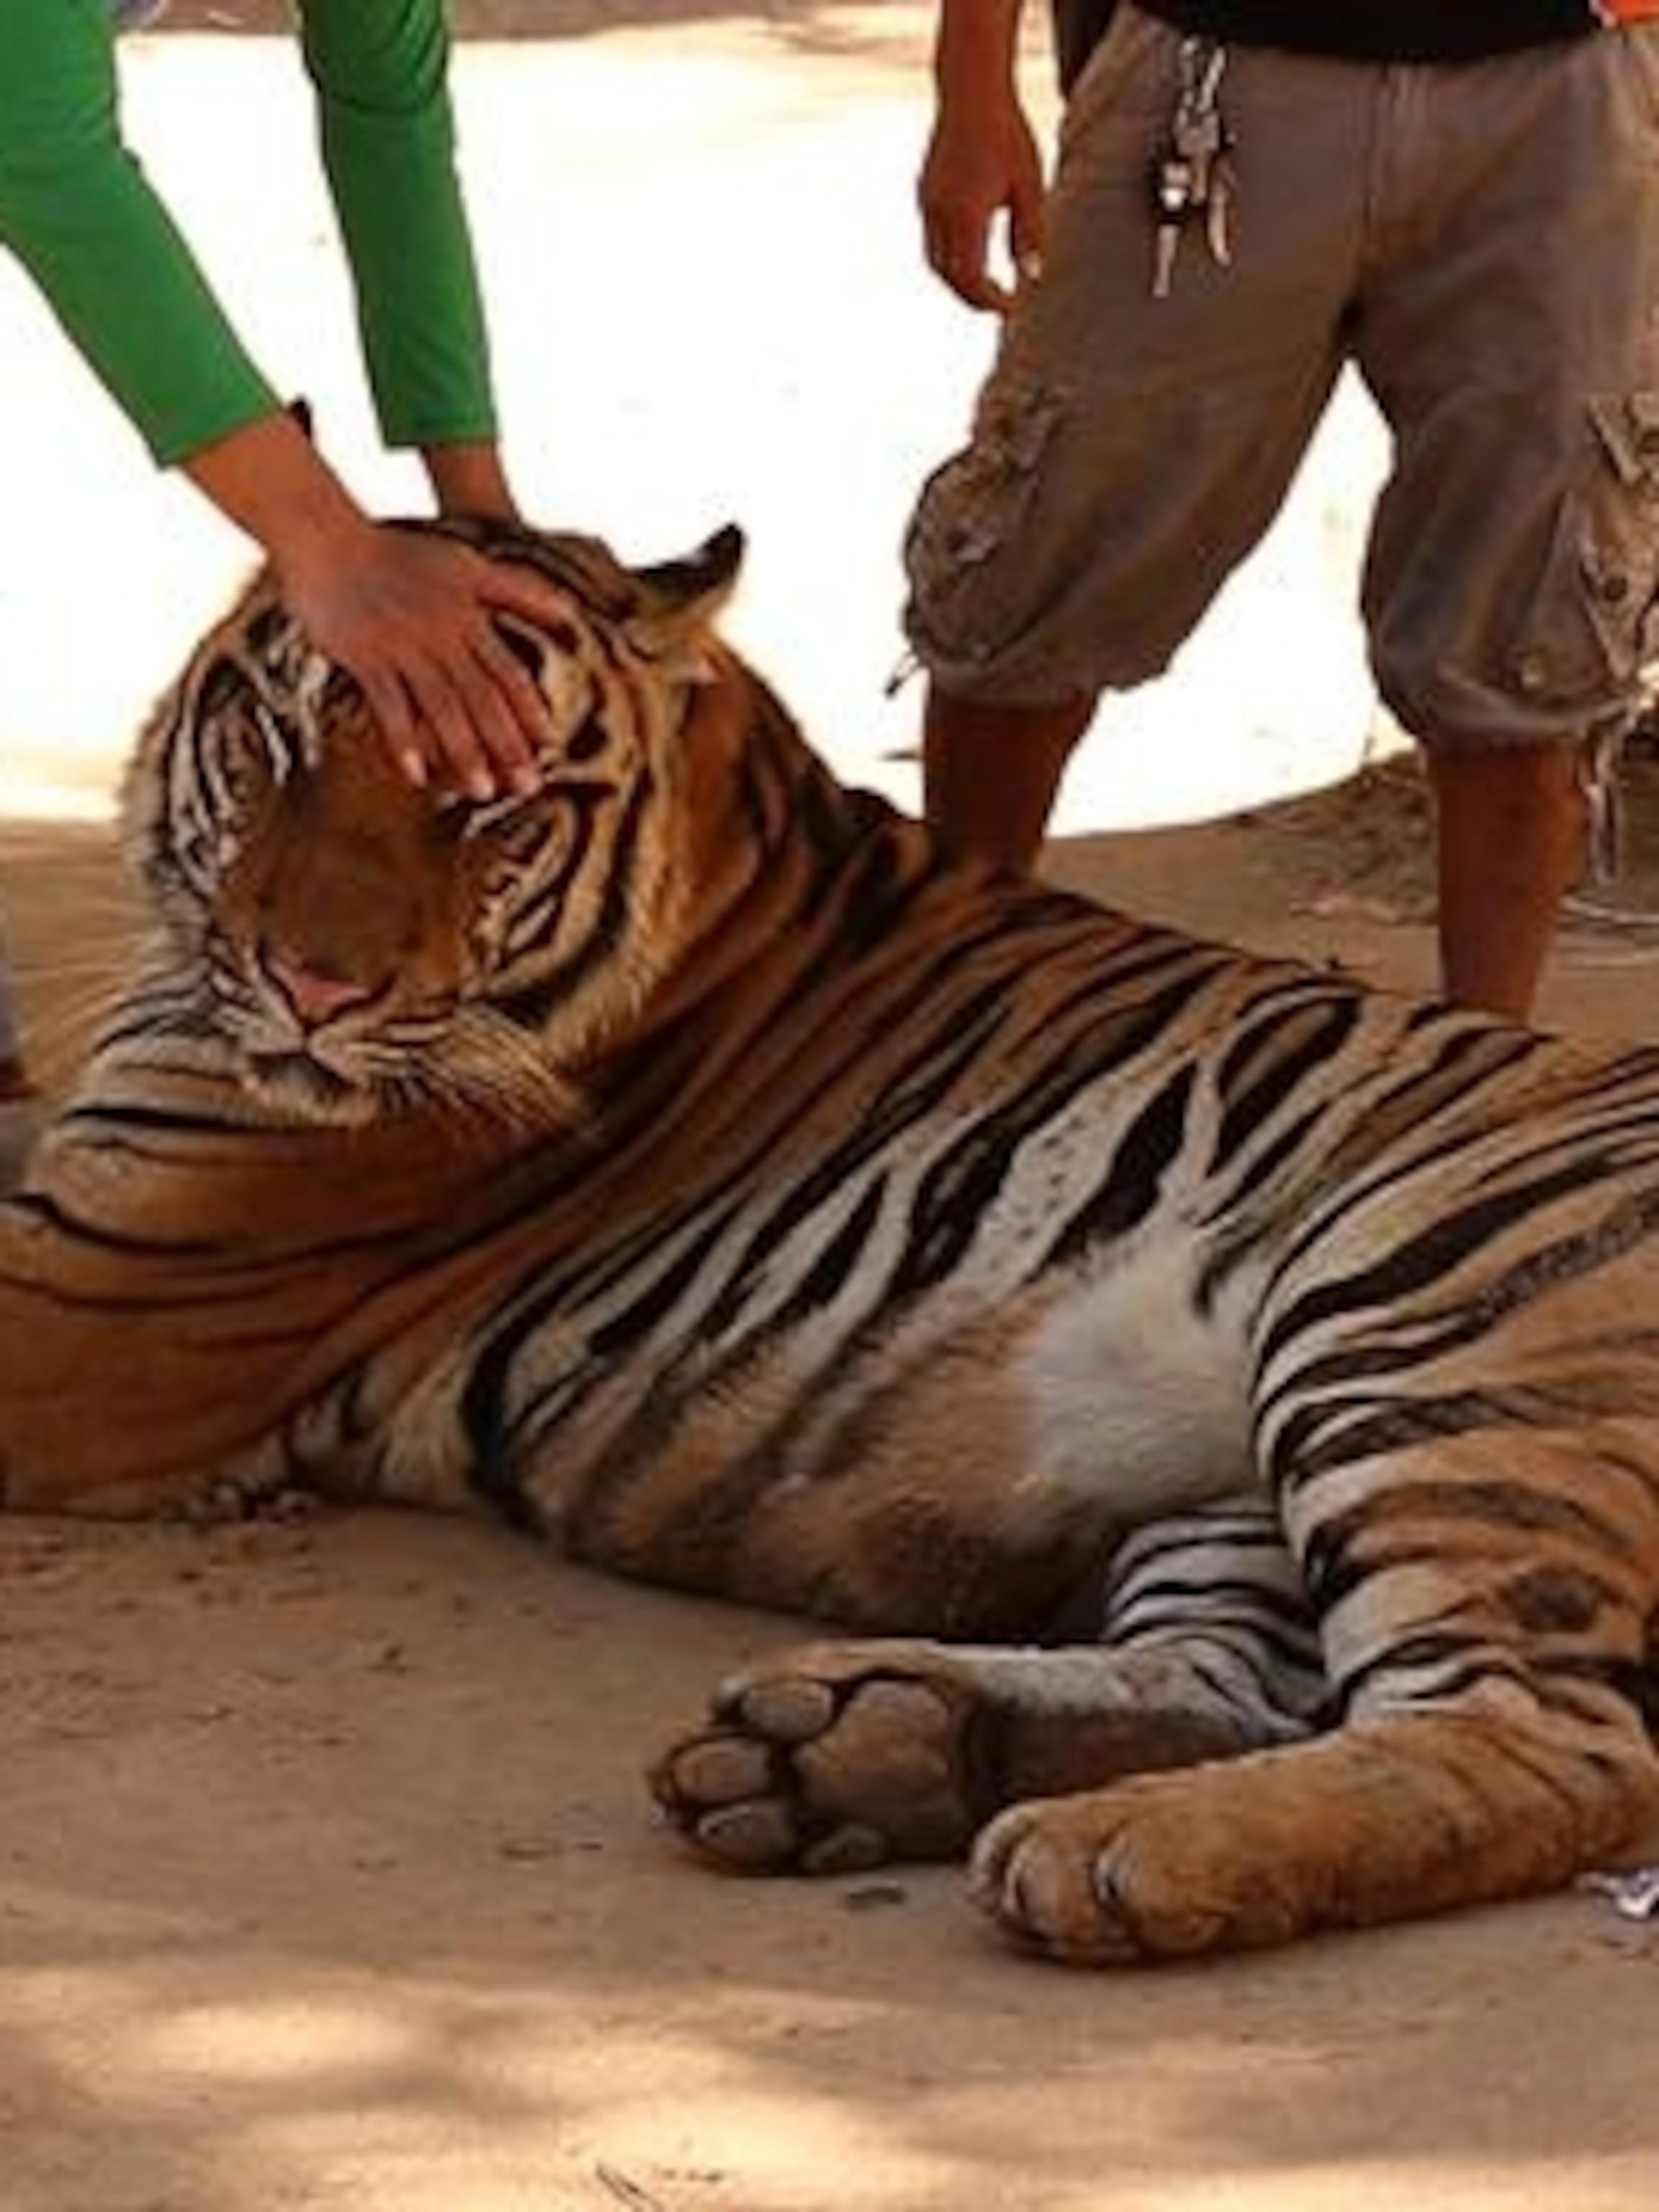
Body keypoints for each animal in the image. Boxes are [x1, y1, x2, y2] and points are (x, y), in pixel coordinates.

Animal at [1, 513, 1657, 1967]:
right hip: (1229, 1485)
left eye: (491, 808)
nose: (312, 989)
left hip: (1413, 1322)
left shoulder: (93, 1295)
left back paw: (1107, 1855)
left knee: (1551, 1743)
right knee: (1228, 1682)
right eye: (278, 750)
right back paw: (856, 1755)